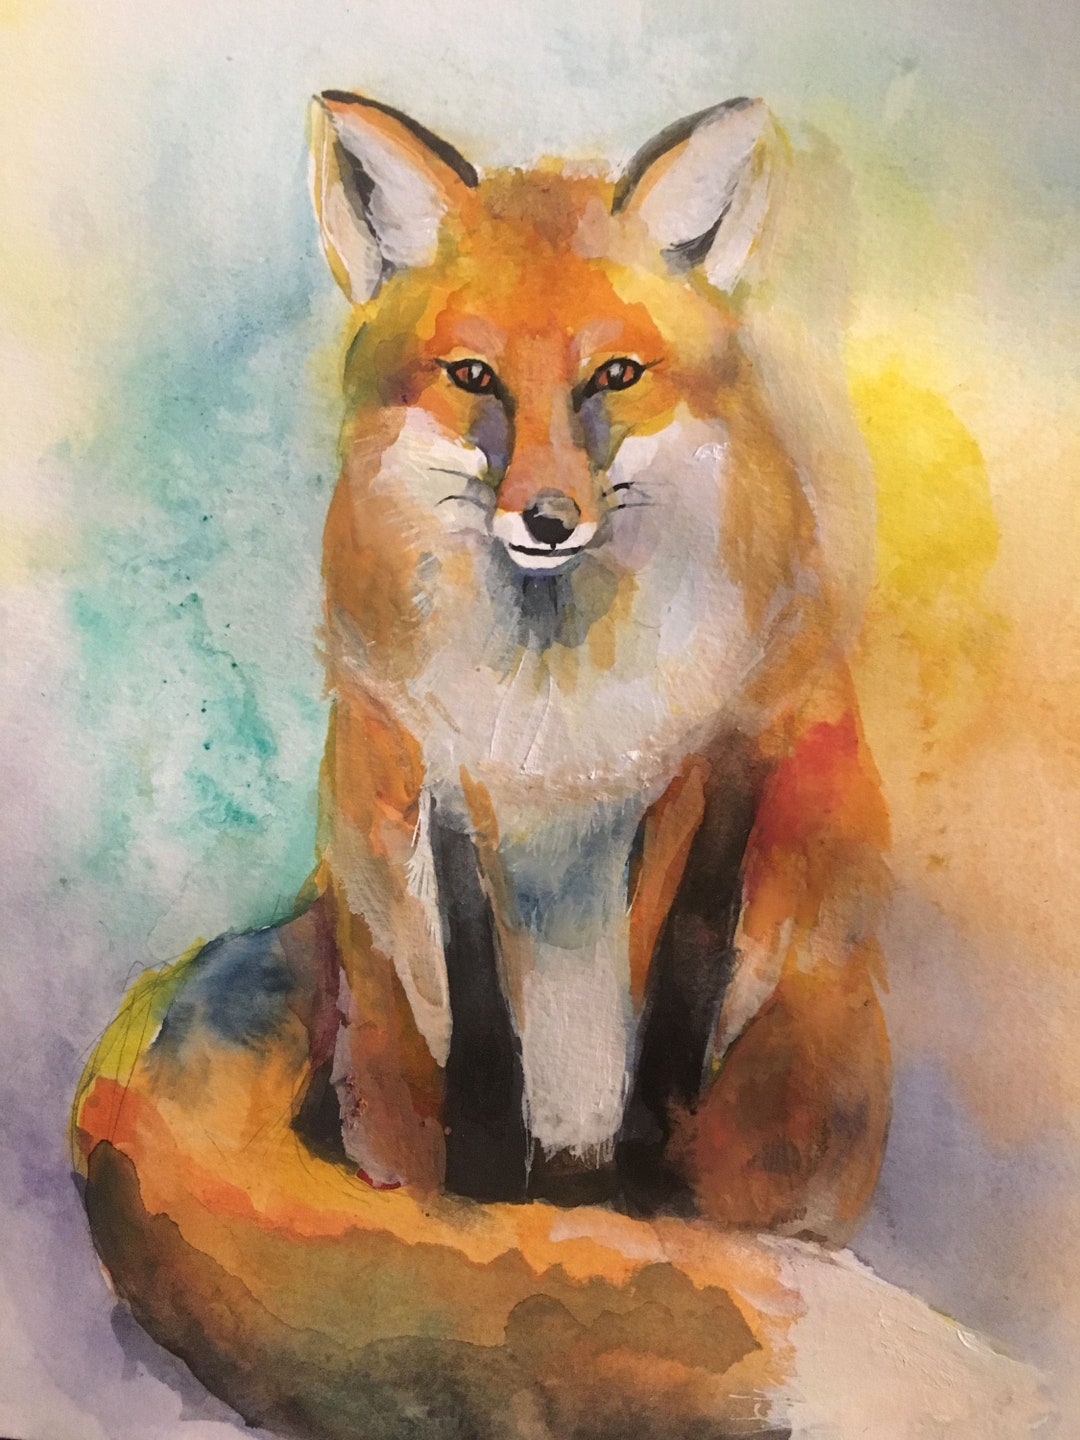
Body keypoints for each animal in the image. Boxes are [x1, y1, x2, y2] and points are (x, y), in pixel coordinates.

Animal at [72, 91, 900, 1438]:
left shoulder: (702, 775)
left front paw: (639, 1213)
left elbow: (668, 1013)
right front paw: (480, 1211)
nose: (547, 520)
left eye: (614, 376)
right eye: (475, 379)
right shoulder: (437, 785)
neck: (548, 713)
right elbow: (481, 1036)